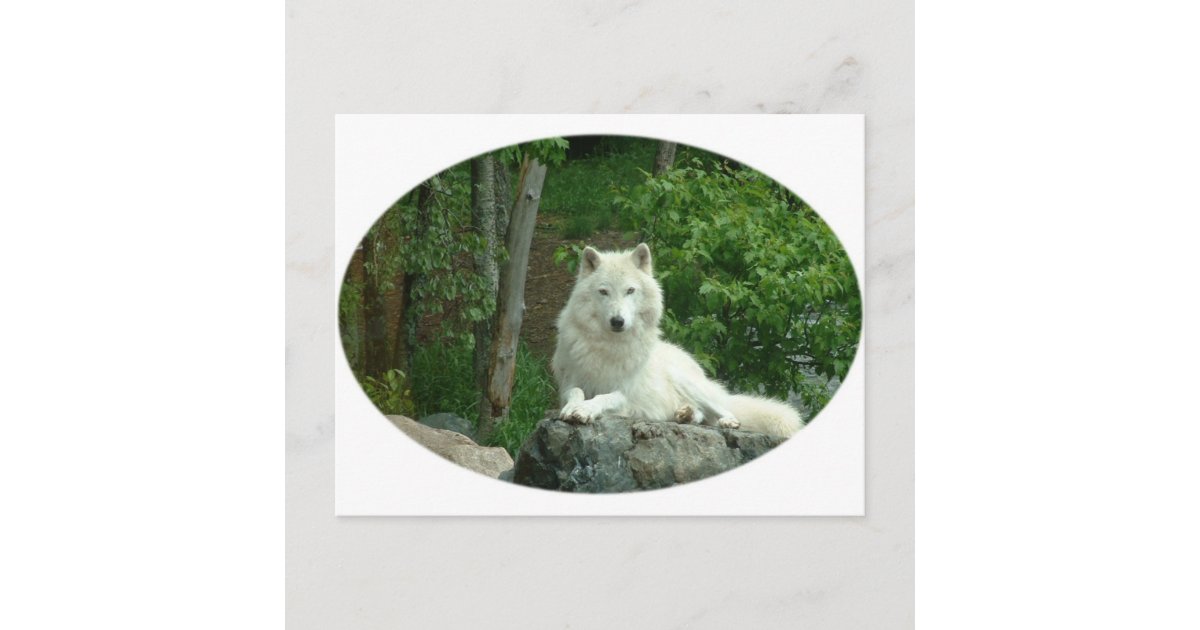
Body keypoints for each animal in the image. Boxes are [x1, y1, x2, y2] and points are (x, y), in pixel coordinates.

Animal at [551, 243, 802, 438]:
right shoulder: (569, 383)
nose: (617, 321)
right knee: (702, 415)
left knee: (723, 411)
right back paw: (685, 414)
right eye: (603, 291)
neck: (609, 346)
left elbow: (603, 397)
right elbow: (576, 393)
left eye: (630, 290)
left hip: (686, 381)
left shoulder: (625, 393)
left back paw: (725, 420)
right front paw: (573, 407)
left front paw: (584, 410)